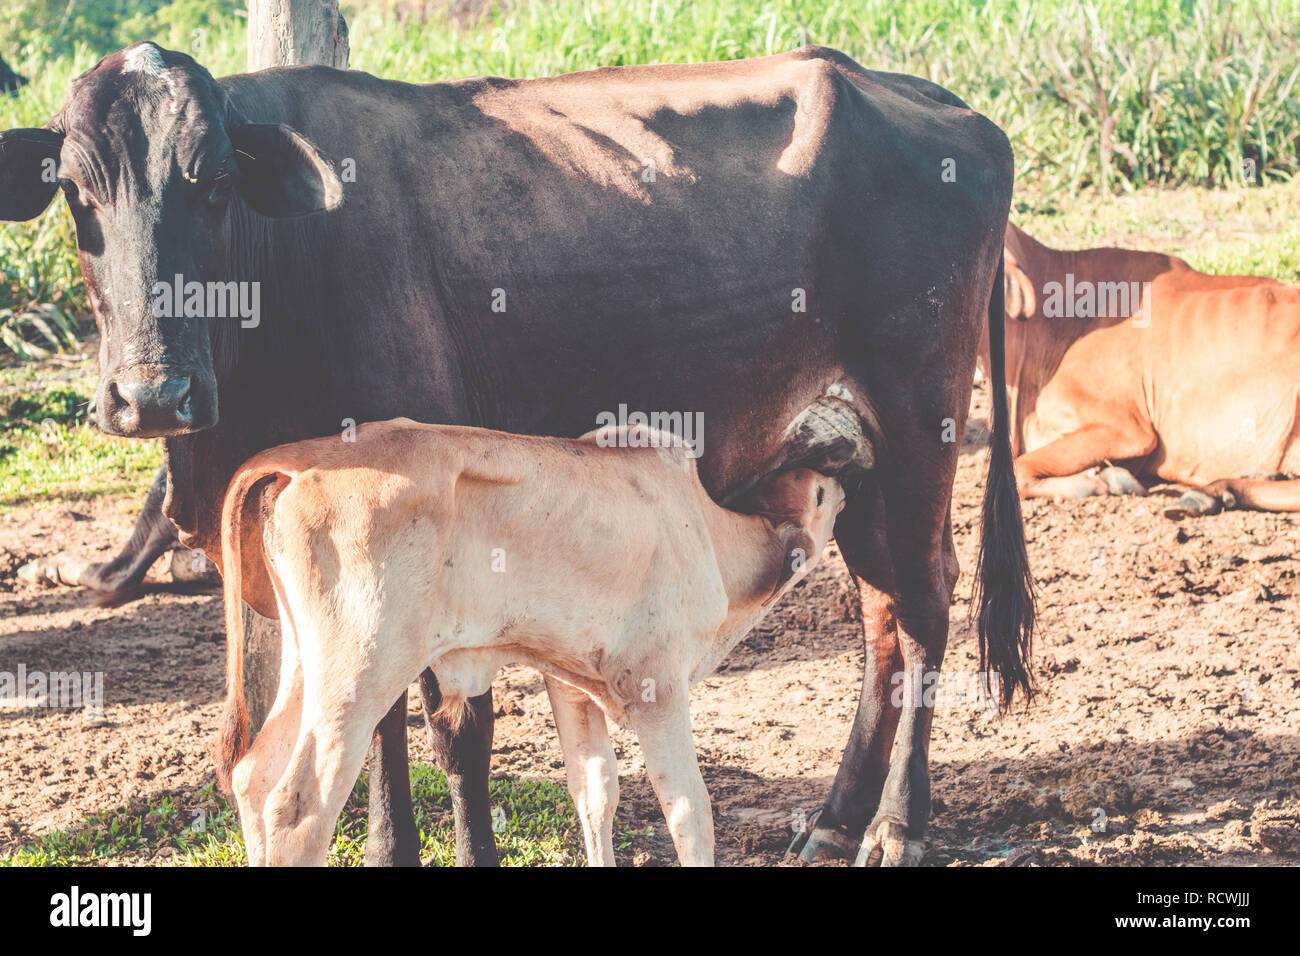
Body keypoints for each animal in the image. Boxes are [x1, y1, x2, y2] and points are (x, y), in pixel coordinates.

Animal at [215, 420, 844, 866]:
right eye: (822, 492)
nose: (839, 477)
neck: (711, 536)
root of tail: (301, 461)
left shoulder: (572, 684)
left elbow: (595, 792)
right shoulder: (656, 685)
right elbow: (690, 812)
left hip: (307, 666)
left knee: (253, 778)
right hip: (361, 672)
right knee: (297, 812)